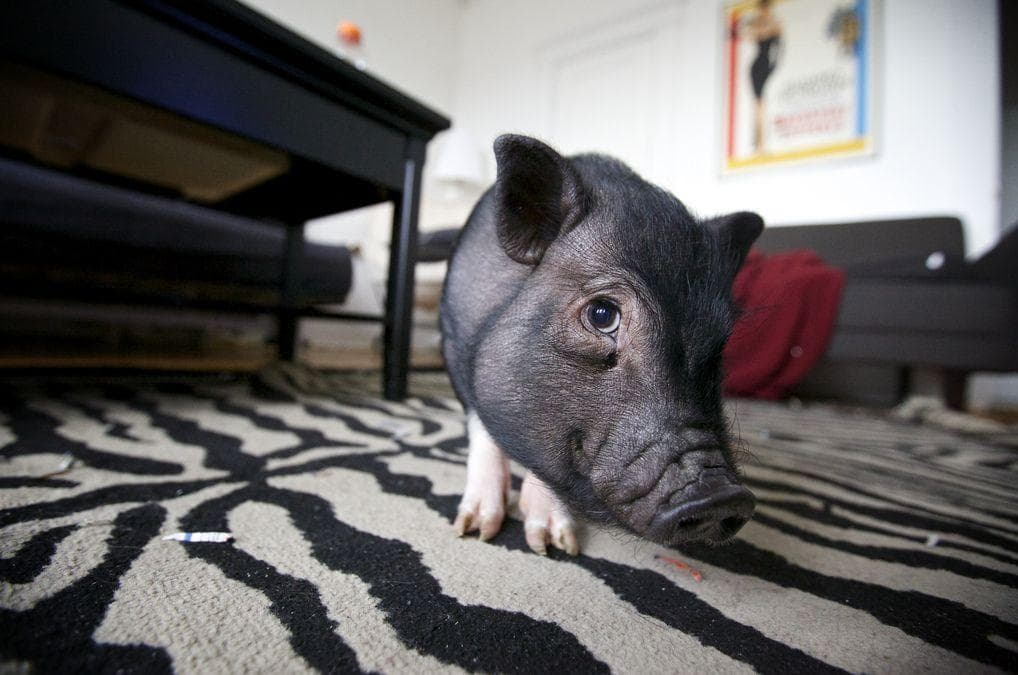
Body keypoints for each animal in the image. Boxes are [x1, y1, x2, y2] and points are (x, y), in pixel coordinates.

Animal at [440, 134, 762, 556]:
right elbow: (482, 428)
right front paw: (476, 530)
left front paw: (553, 543)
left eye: (719, 345)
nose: (722, 496)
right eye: (602, 314)